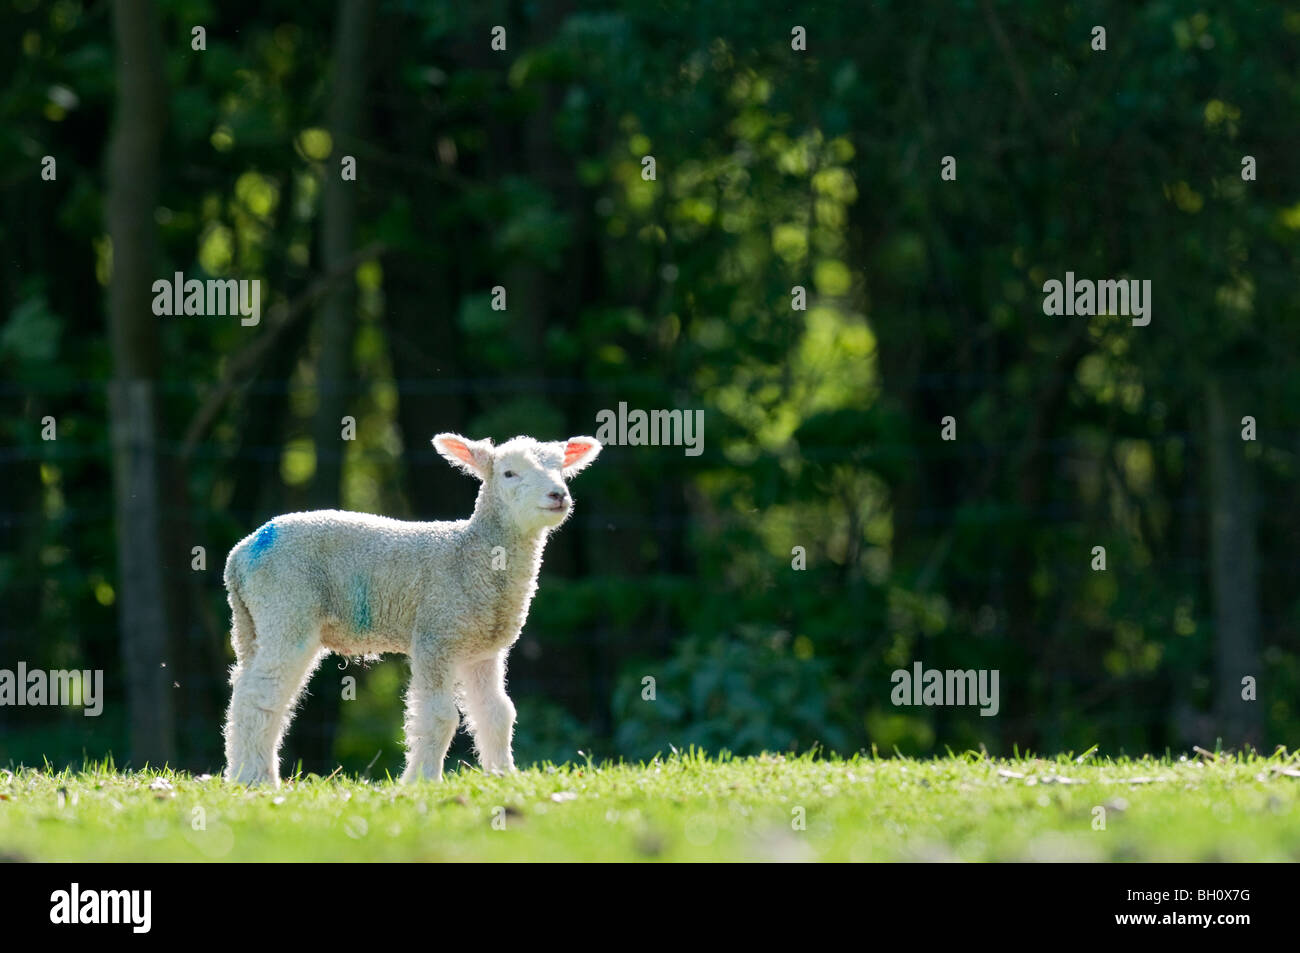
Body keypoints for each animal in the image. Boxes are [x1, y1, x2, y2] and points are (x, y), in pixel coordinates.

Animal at [221, 432, 602, 786]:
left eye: (561, 469)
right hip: (287, 607)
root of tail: (240, 555)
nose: (558, 495)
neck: (470, 555)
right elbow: (440, 716)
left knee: (242, 689)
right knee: (260, 695)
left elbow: (497, 714)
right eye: (509, 473)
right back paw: (255, 779)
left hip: (252, 623)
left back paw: (240, 773)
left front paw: (504, 777)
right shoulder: (435, 634)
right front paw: (423, 781)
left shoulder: (482, 651)